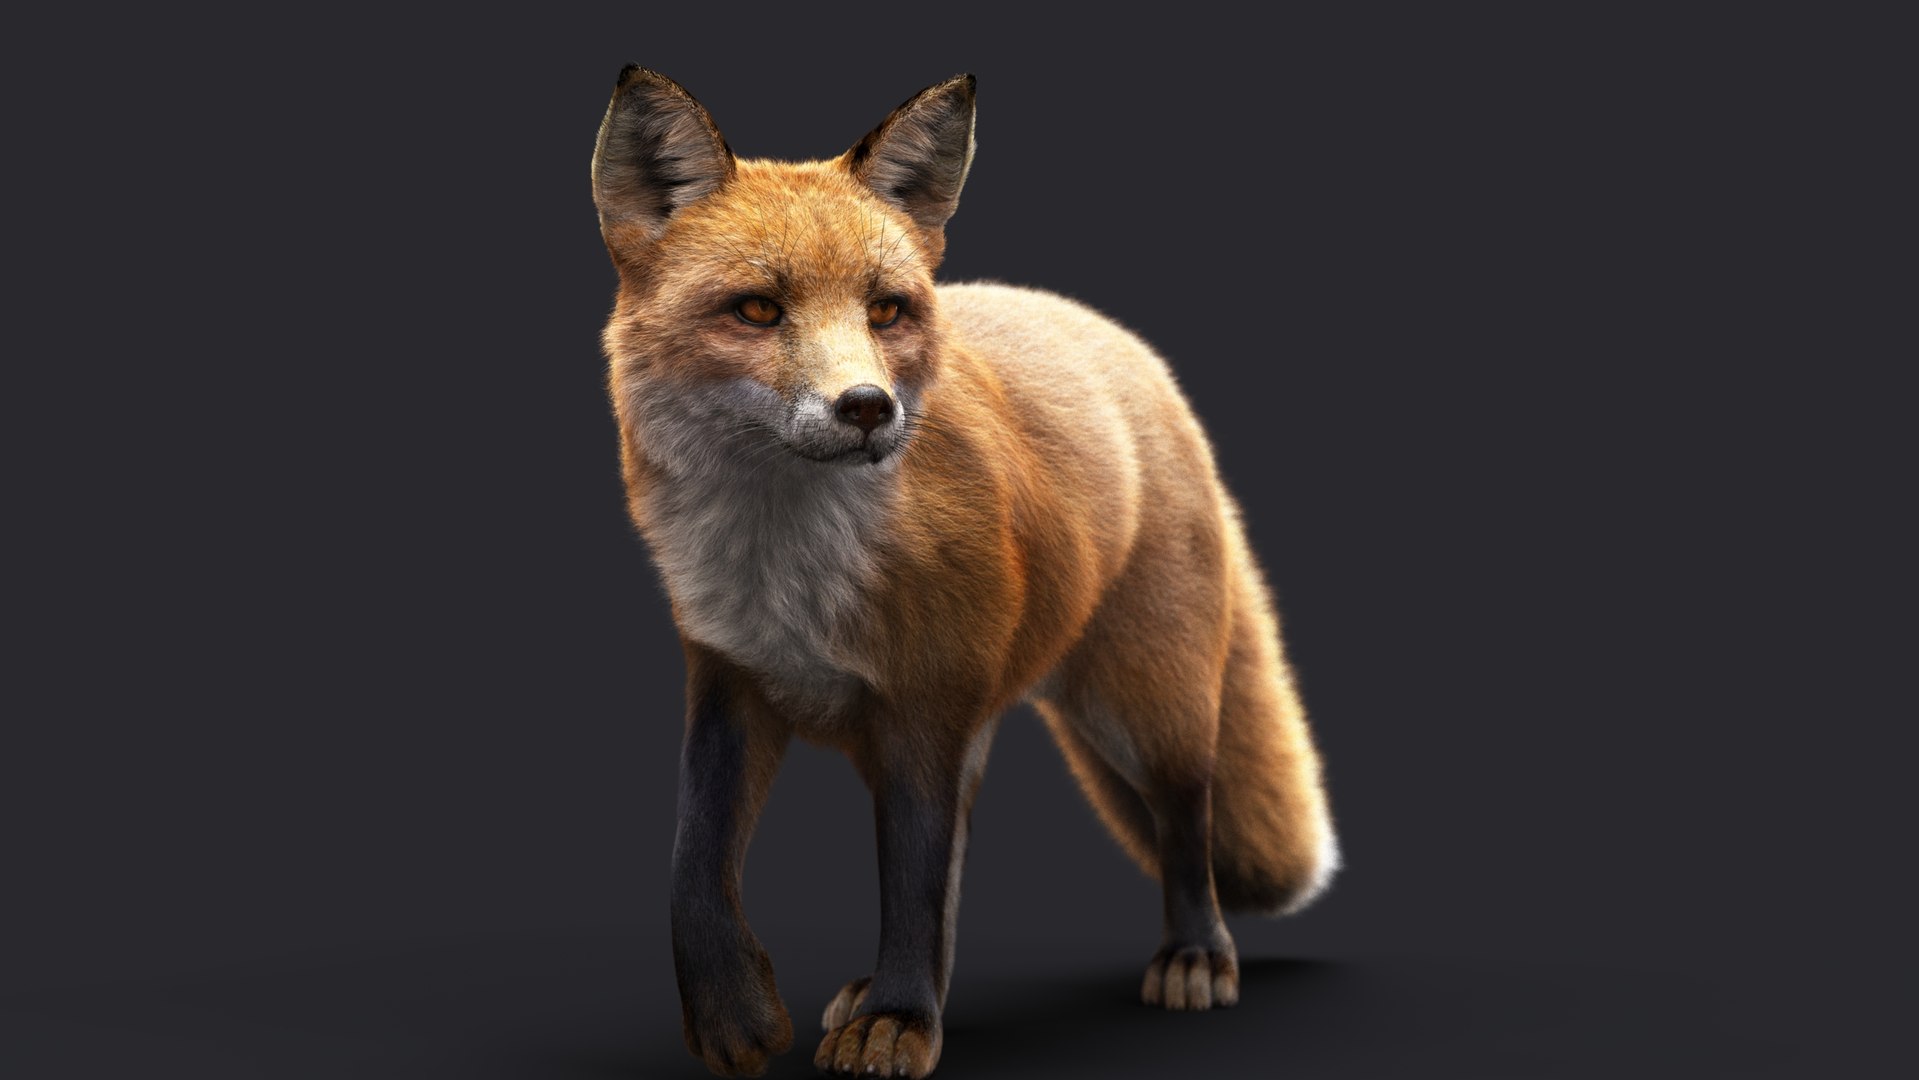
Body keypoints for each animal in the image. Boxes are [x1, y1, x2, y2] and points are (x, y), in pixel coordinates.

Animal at [589, 67, 1340, 1078]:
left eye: (884, 310)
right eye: (756, 309)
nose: (868, 406)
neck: (787, 577)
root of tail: (1115, 339)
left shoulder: (927, 704)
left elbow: (908, 880)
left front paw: (900, 1021)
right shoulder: (729, 679)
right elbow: (693, 860)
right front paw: (732, 1015)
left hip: (1143, 708)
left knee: (1187, 815)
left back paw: (1193, 954)